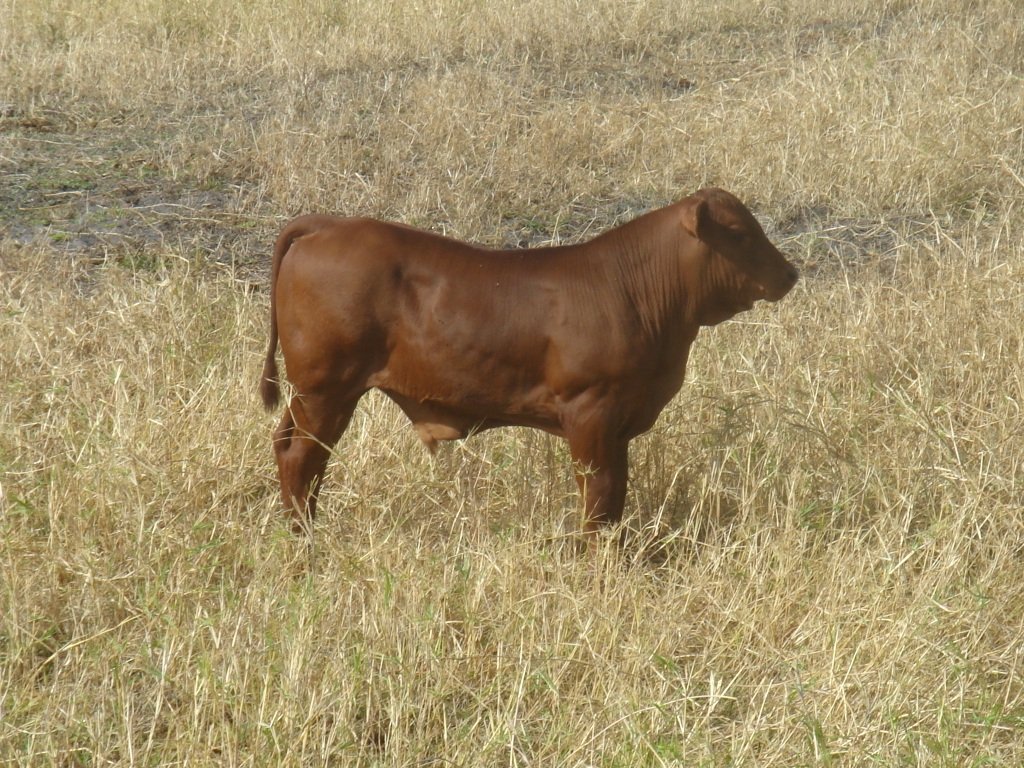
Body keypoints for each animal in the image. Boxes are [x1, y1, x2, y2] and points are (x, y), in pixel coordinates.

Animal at [260, 187, 798, 538]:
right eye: (738, 232)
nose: (790, 273)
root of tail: (329, 224)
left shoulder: (619, 424)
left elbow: (616, 495)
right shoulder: (591, 412)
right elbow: (600, 494)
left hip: (311, 394)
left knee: (287, 447)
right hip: (328, 389)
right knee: (303, 459)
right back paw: (305, 541)